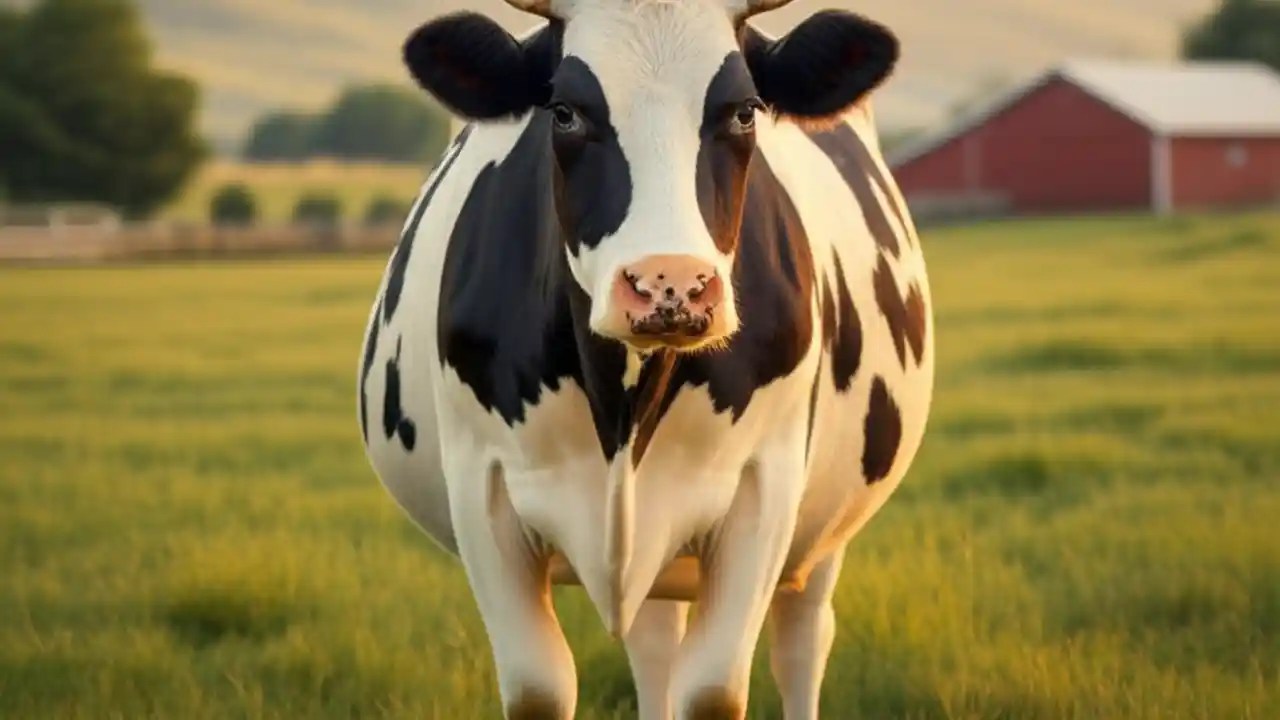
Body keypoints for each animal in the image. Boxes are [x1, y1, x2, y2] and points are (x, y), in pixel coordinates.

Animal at [358, 1, 933, 718]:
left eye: (744, 111)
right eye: (564, 111)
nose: (670, 284)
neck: (623, 409)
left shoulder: (764, 489)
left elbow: (712, 690)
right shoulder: (480, 488)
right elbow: (540, 687)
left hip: (826, 529)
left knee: (801, 643)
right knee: (656, 644)